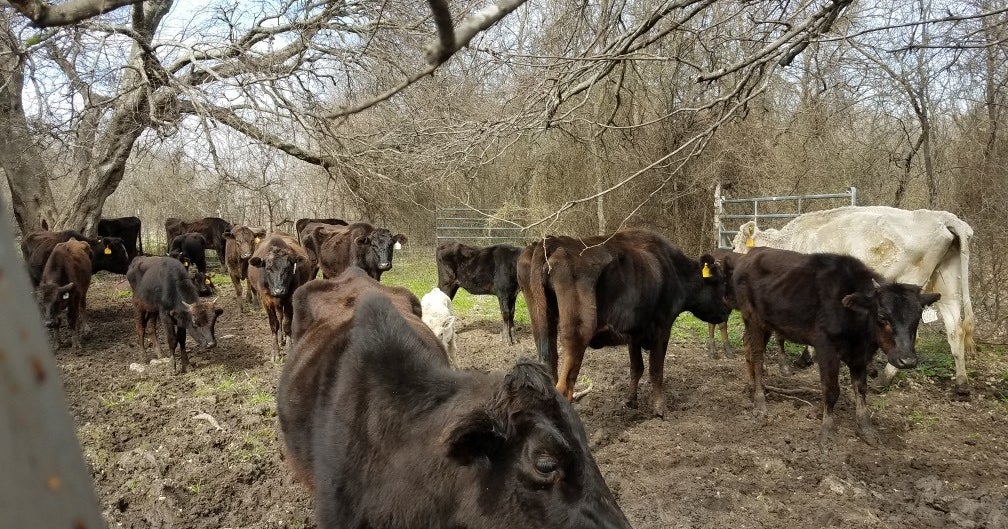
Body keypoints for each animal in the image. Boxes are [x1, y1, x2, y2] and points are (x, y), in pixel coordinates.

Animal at [518, 229, 732, 417]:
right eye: (721, 282)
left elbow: (636, 367)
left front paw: (631, 401)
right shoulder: (662, 328)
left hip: (543, 326)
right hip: (578, 334)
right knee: (564, 389)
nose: (728, 311)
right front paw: (660, 410)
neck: (672, 268)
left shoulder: (633, 333)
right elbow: (656, 370)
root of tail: (552, 241)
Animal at [726, 246, 940, 445]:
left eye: (918, 317)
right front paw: (827, 431)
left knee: (747, 347)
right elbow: (831, 390)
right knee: (757, 357)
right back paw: (760, 402)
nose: (907, 360)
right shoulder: (826, 349)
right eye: (882, 317)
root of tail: (750, 254)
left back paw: (751, 386)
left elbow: (861, 389)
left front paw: (867, 429)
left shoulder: (860, 356)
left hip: (766, 323)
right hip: (752, 318)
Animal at [733, 206, 974, 396]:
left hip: (909, 285)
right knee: (955, 328)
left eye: (736, 244)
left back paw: (885, 378)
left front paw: (805, 358)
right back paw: (962, 384)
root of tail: (942, 217)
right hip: (947, 284)